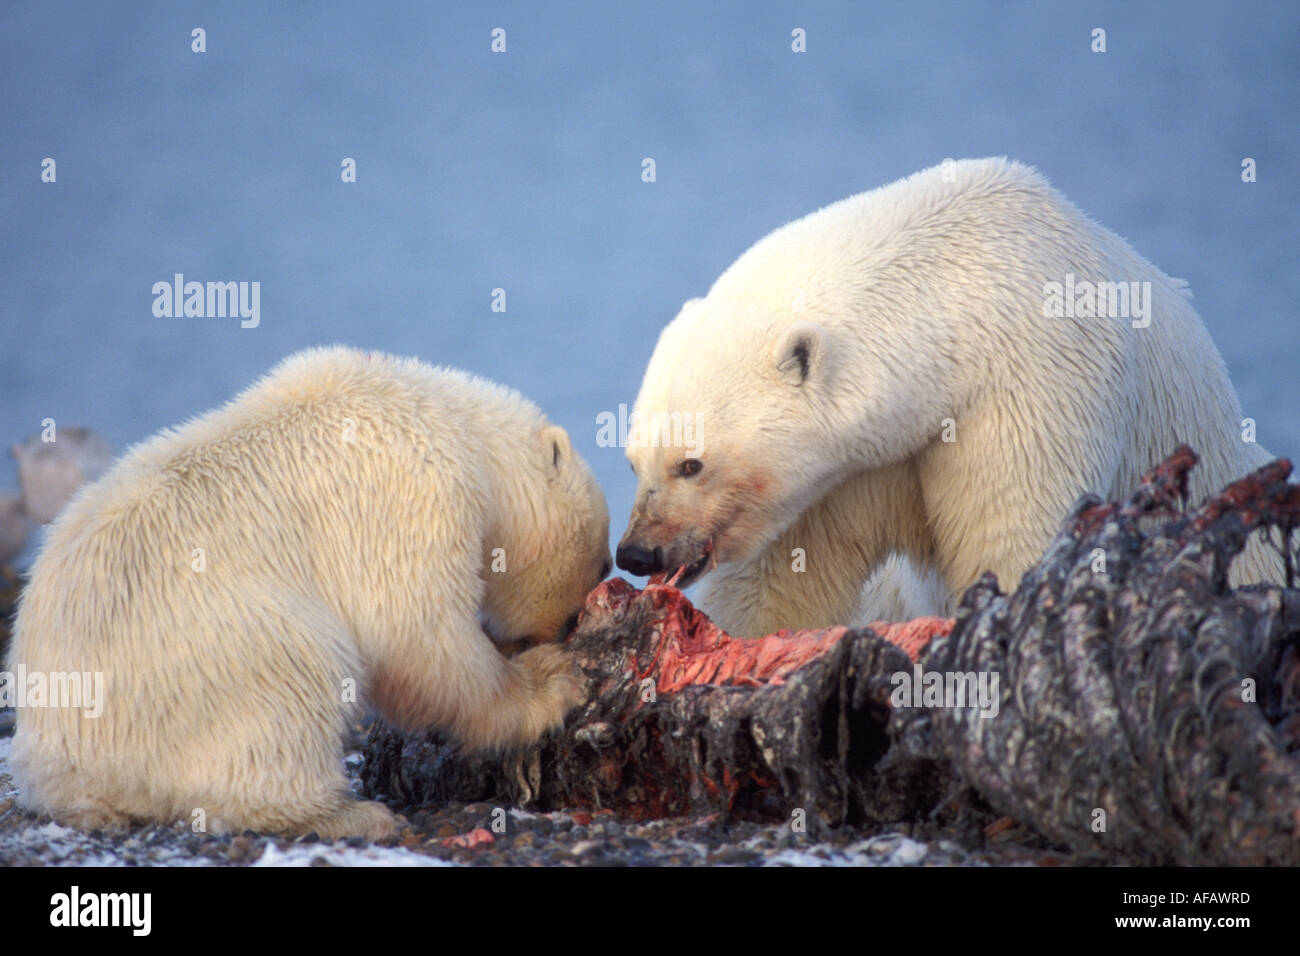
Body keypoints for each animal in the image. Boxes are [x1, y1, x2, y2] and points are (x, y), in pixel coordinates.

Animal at [8, 346, 611, 839]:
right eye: (600, 563)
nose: (570, 624)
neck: (453, 425)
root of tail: (56, 767)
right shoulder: (414, 489)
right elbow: (414, 631)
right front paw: (551, 682)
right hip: (205, 656)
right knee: (291, 681)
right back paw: (350, 814)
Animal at [615, 157, 1283, 638]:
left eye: (691, 463)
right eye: (633, 460)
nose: (637, 552)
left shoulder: (1033, 386)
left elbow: (1013, 534)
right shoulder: (849, 471)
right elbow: (786, 576)